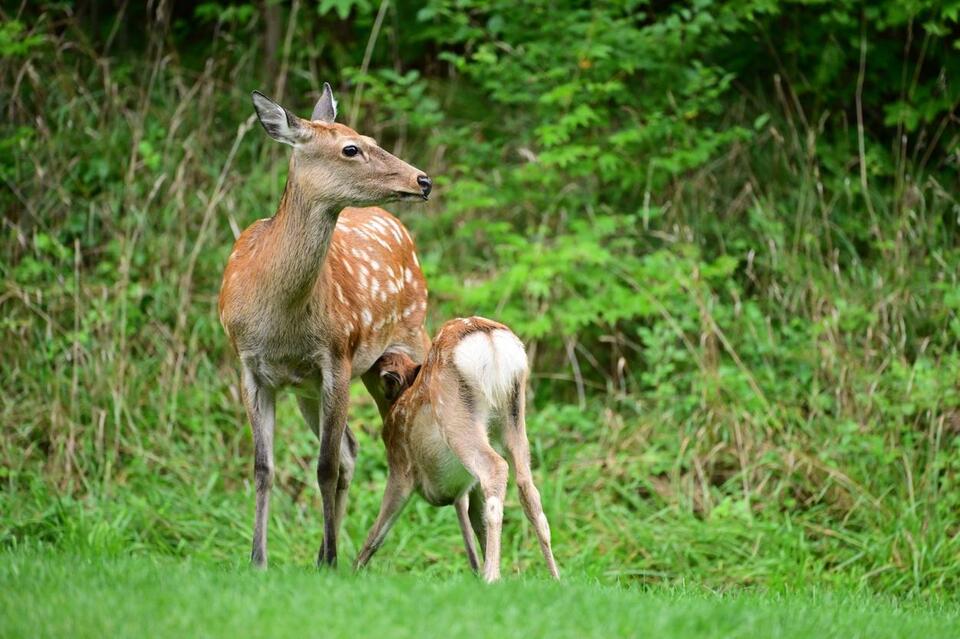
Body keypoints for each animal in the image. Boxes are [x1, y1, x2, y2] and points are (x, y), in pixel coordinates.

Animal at [218, 83, 432, 568]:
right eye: (350, 148)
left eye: (370, 138)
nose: (423, 180)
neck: (278, 319)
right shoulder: (251, 367)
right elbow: (264, 466)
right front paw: (257, 560)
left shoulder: (336, 356)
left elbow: (324, 466)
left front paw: (331, 558)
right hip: (311, 389)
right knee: (351, 451)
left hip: (407, 341)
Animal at [355, 316, 560, 583]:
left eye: (378, 365)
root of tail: (489, 337)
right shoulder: (464, 488)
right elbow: (472, 528)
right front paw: (476, 570)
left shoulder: (400, 465)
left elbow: (376, 534)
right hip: (515, 415)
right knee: (528, 489)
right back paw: (555, 578)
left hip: (456, 417)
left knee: (496, 468)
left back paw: (492, 577)